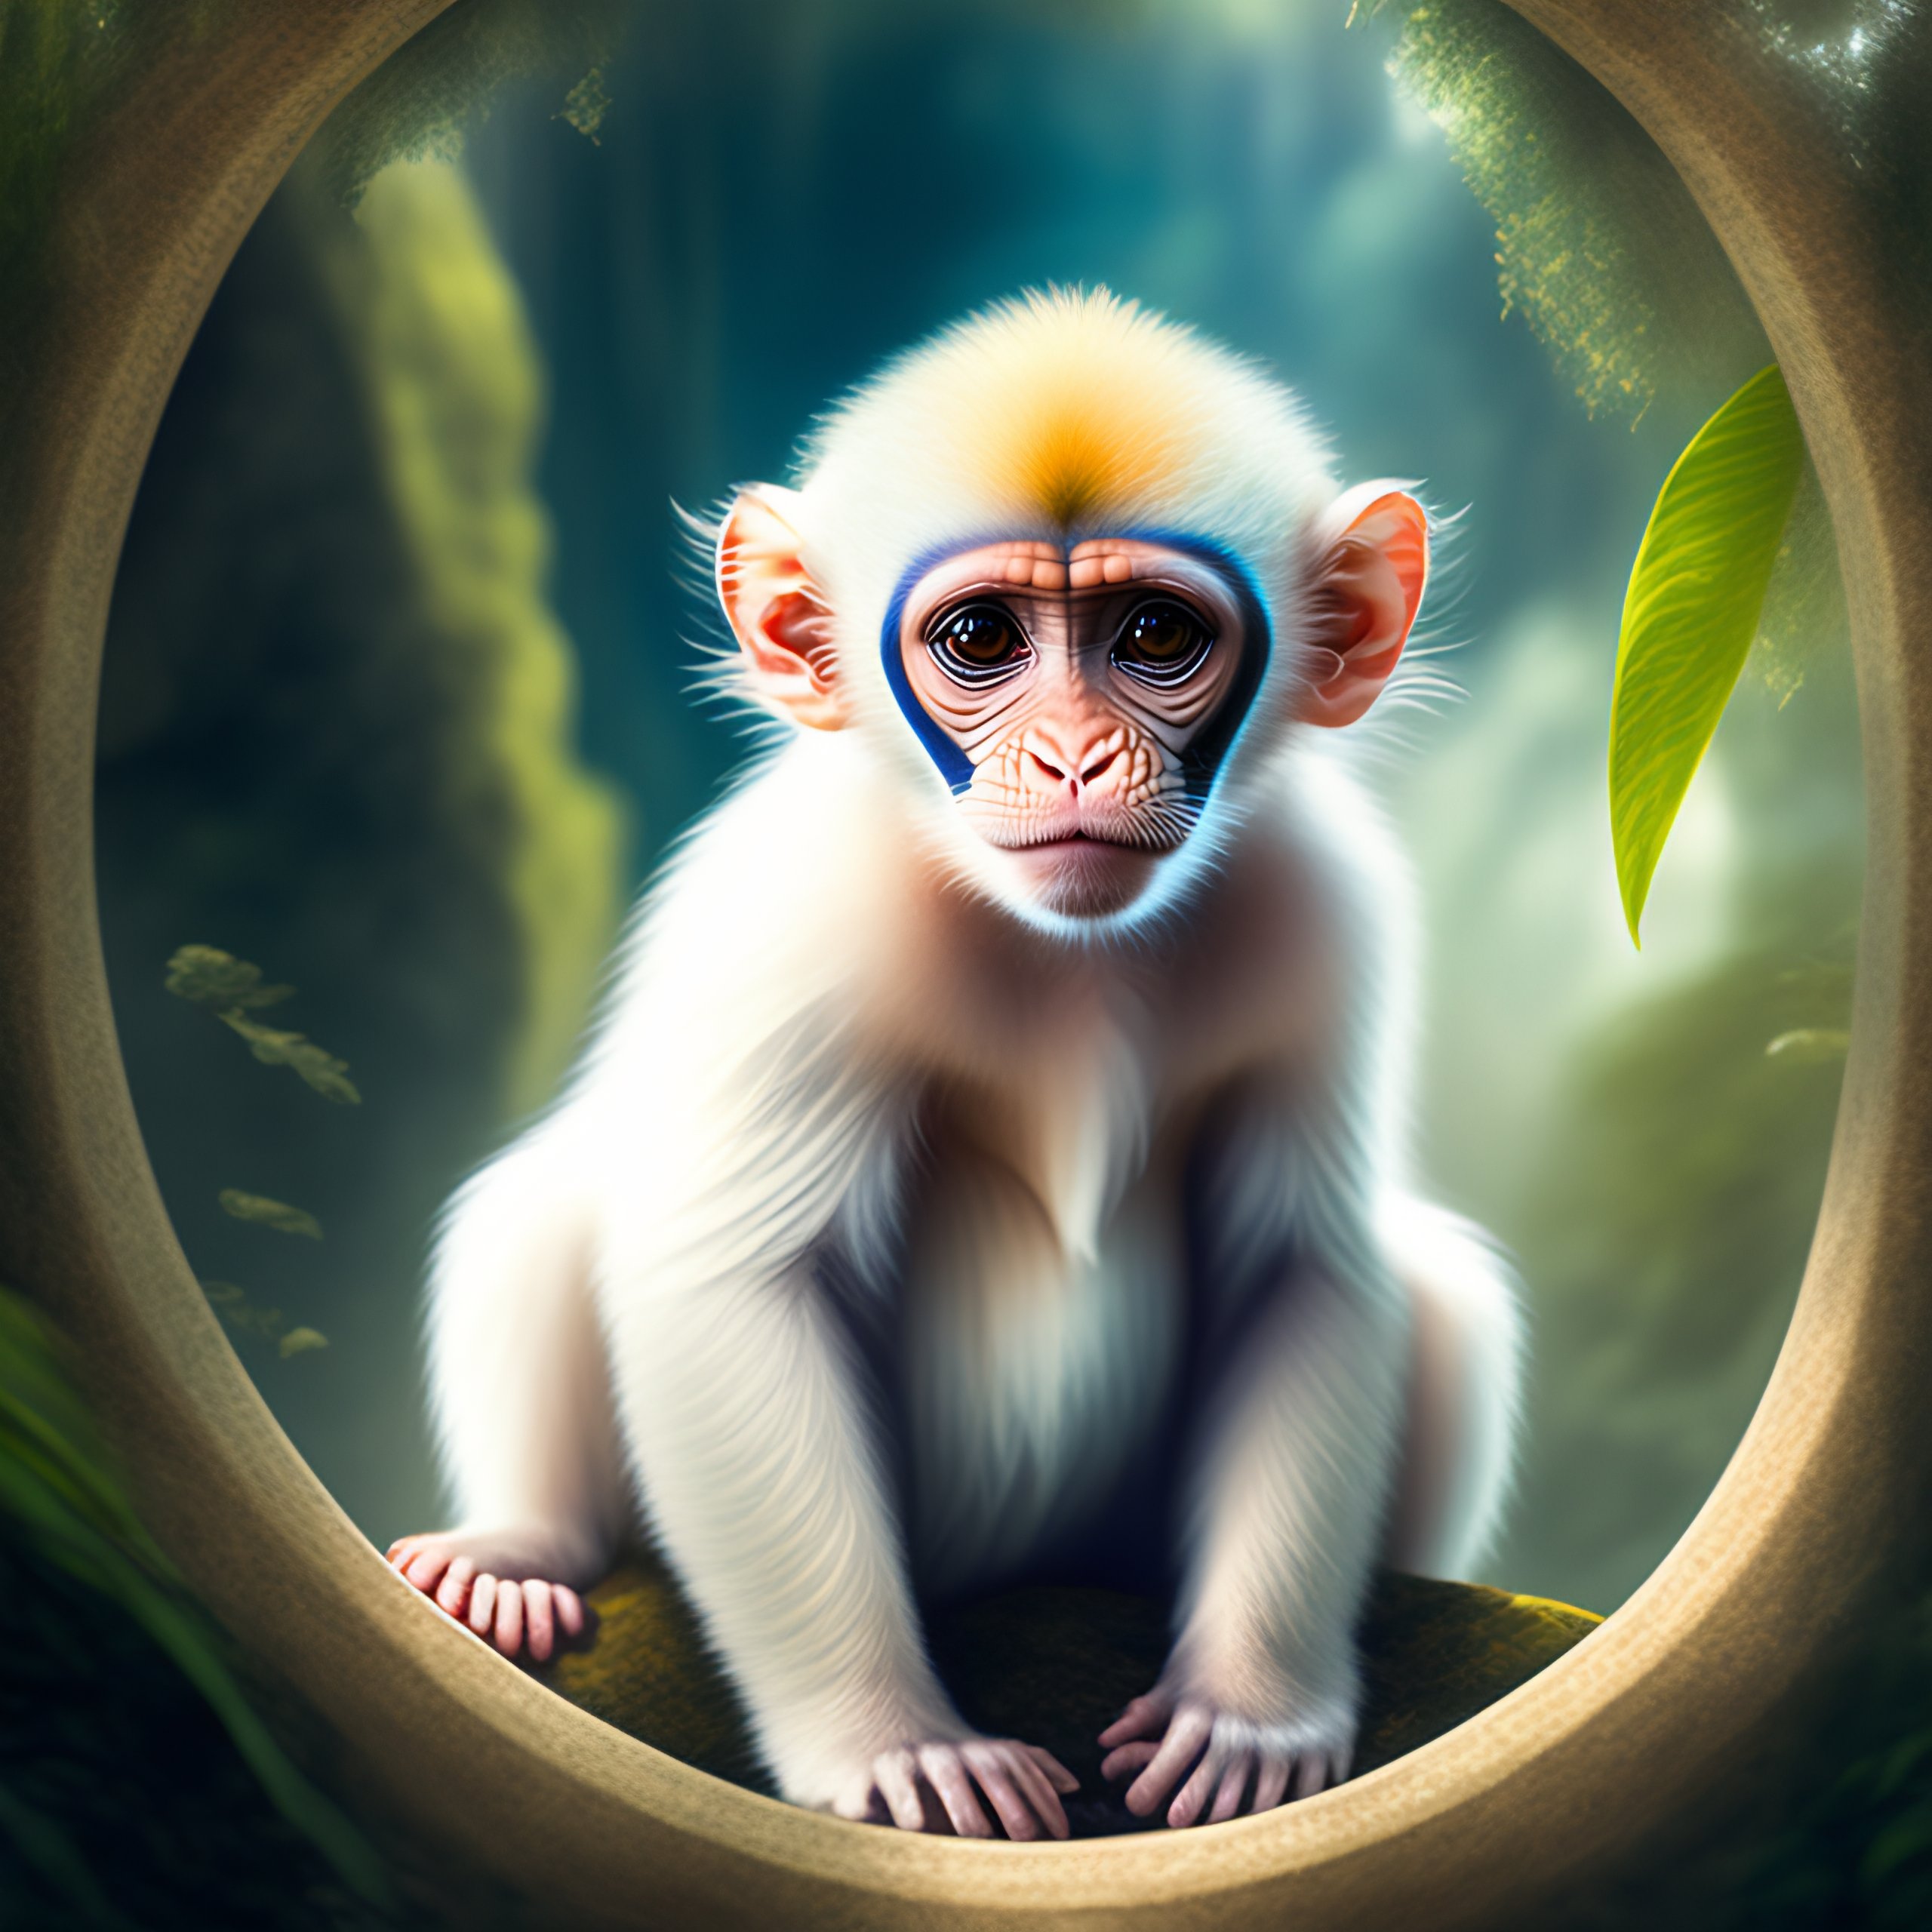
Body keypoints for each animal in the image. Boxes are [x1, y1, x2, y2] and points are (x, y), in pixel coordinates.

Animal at [385, 289, 1521, 1840]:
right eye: (981, 637)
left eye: (1155, 634)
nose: (1074, 760)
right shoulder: (800, 906)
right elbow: (734, 1289)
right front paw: (893, 1746)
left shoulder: (1325, 903)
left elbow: (1300, 1270)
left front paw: (1248, 1708)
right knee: (544, 1211)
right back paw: (518, 1549)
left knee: (1440, 1290)